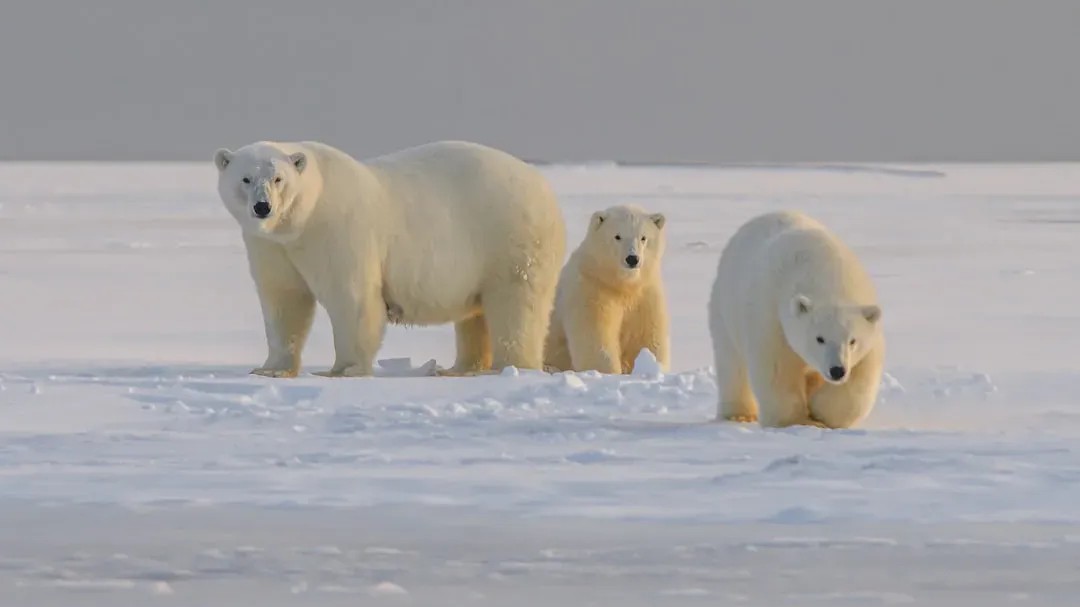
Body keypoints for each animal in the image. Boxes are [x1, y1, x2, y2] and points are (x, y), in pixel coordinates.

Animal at [213, 140, 567, 378]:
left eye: (278, 179)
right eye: (245, 178)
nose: (263, 207)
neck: (303, 219)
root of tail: (544, 187)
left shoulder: (337, 230)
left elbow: (352, 298)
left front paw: (344, 370)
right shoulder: (271, 246)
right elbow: (283, 300)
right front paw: (270, 369)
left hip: (509, 238)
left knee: (516, 305)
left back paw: (512, 367)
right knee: (475, 315)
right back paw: (460, 368)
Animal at [543, 204, 670, 374]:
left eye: (643, 237)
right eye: (617, 236)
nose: (632, 259)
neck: (621, 283)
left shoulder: (645, 293)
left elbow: (648, 336)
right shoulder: (592, 289)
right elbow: (595, 337)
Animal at [707, 210, 884, 429]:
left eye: (853, 340)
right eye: (819, 338)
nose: (837, 371)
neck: (827, 274)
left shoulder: (868, 335)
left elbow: (860, 379)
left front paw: (820, 412)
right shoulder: (771, 318)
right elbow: (777, 371)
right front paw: (798, 421)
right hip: (725, 307)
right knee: (731, 363)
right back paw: (738, 415)